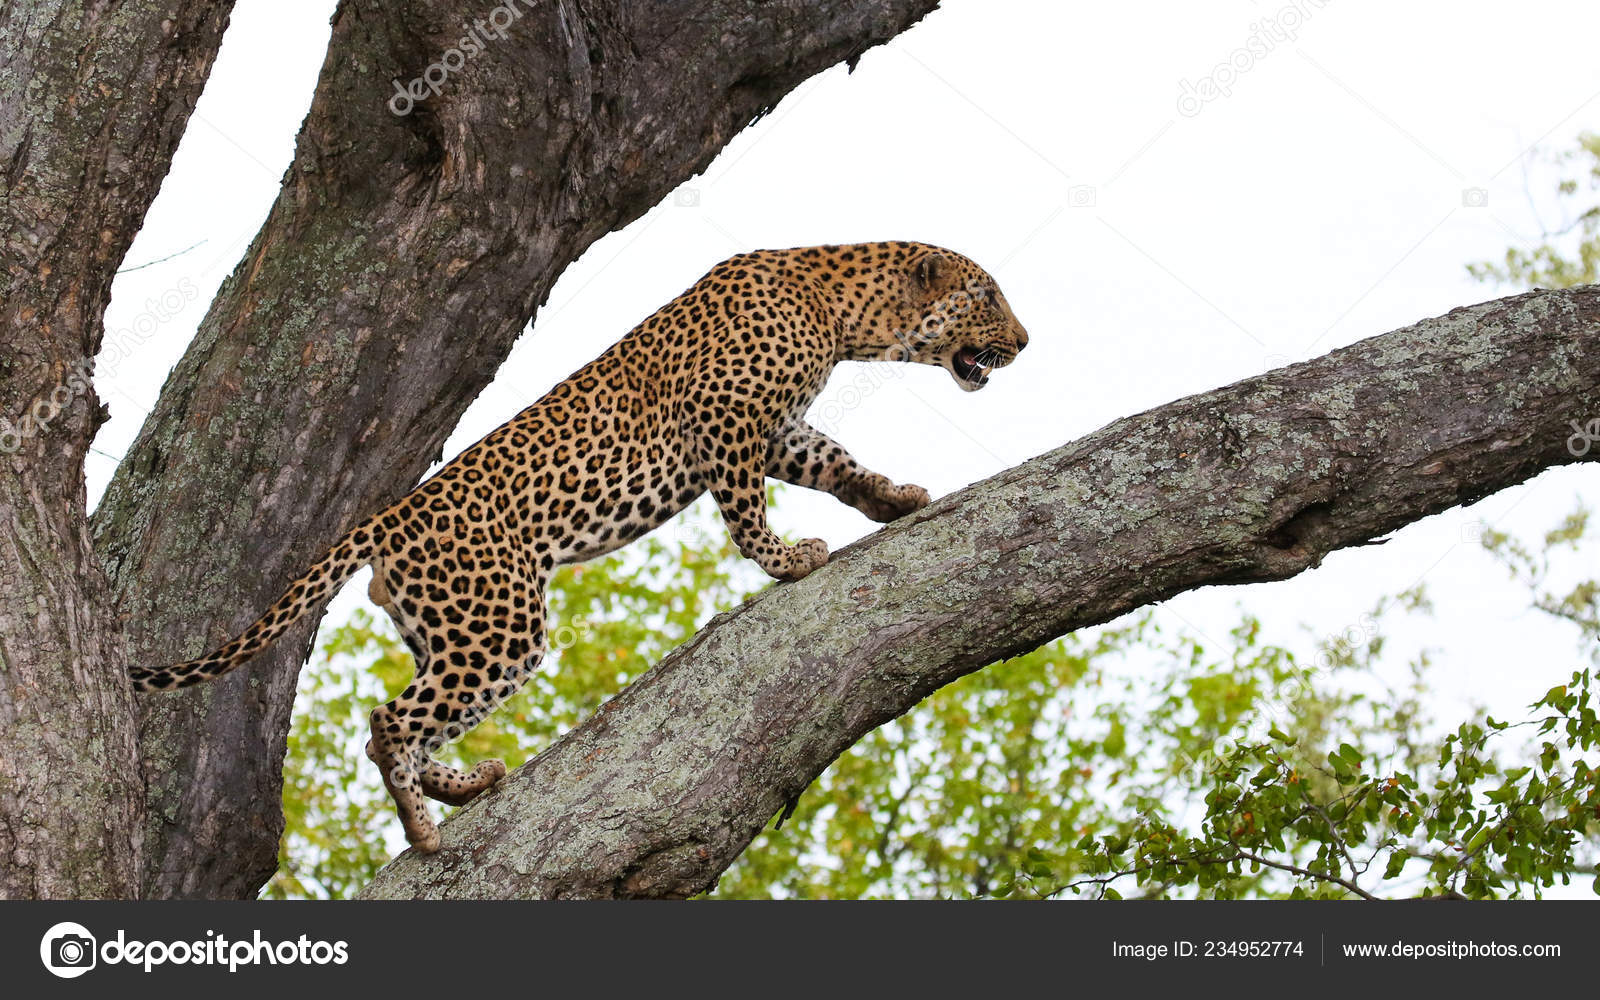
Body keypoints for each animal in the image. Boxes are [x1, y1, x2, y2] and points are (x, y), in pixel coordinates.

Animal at [131, 241, 1031, 853]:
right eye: (988, 295)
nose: (1025, 343)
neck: (839, 310)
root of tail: (384, 518)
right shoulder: (726, 420)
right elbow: (747, 513)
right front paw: (786, 560)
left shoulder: (775, 430)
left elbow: (834, 460)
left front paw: (891, 499)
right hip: (501, 621)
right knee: (391, 720)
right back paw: (426, 830)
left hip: (450, 629)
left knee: (411, 721)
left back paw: (466, 786)